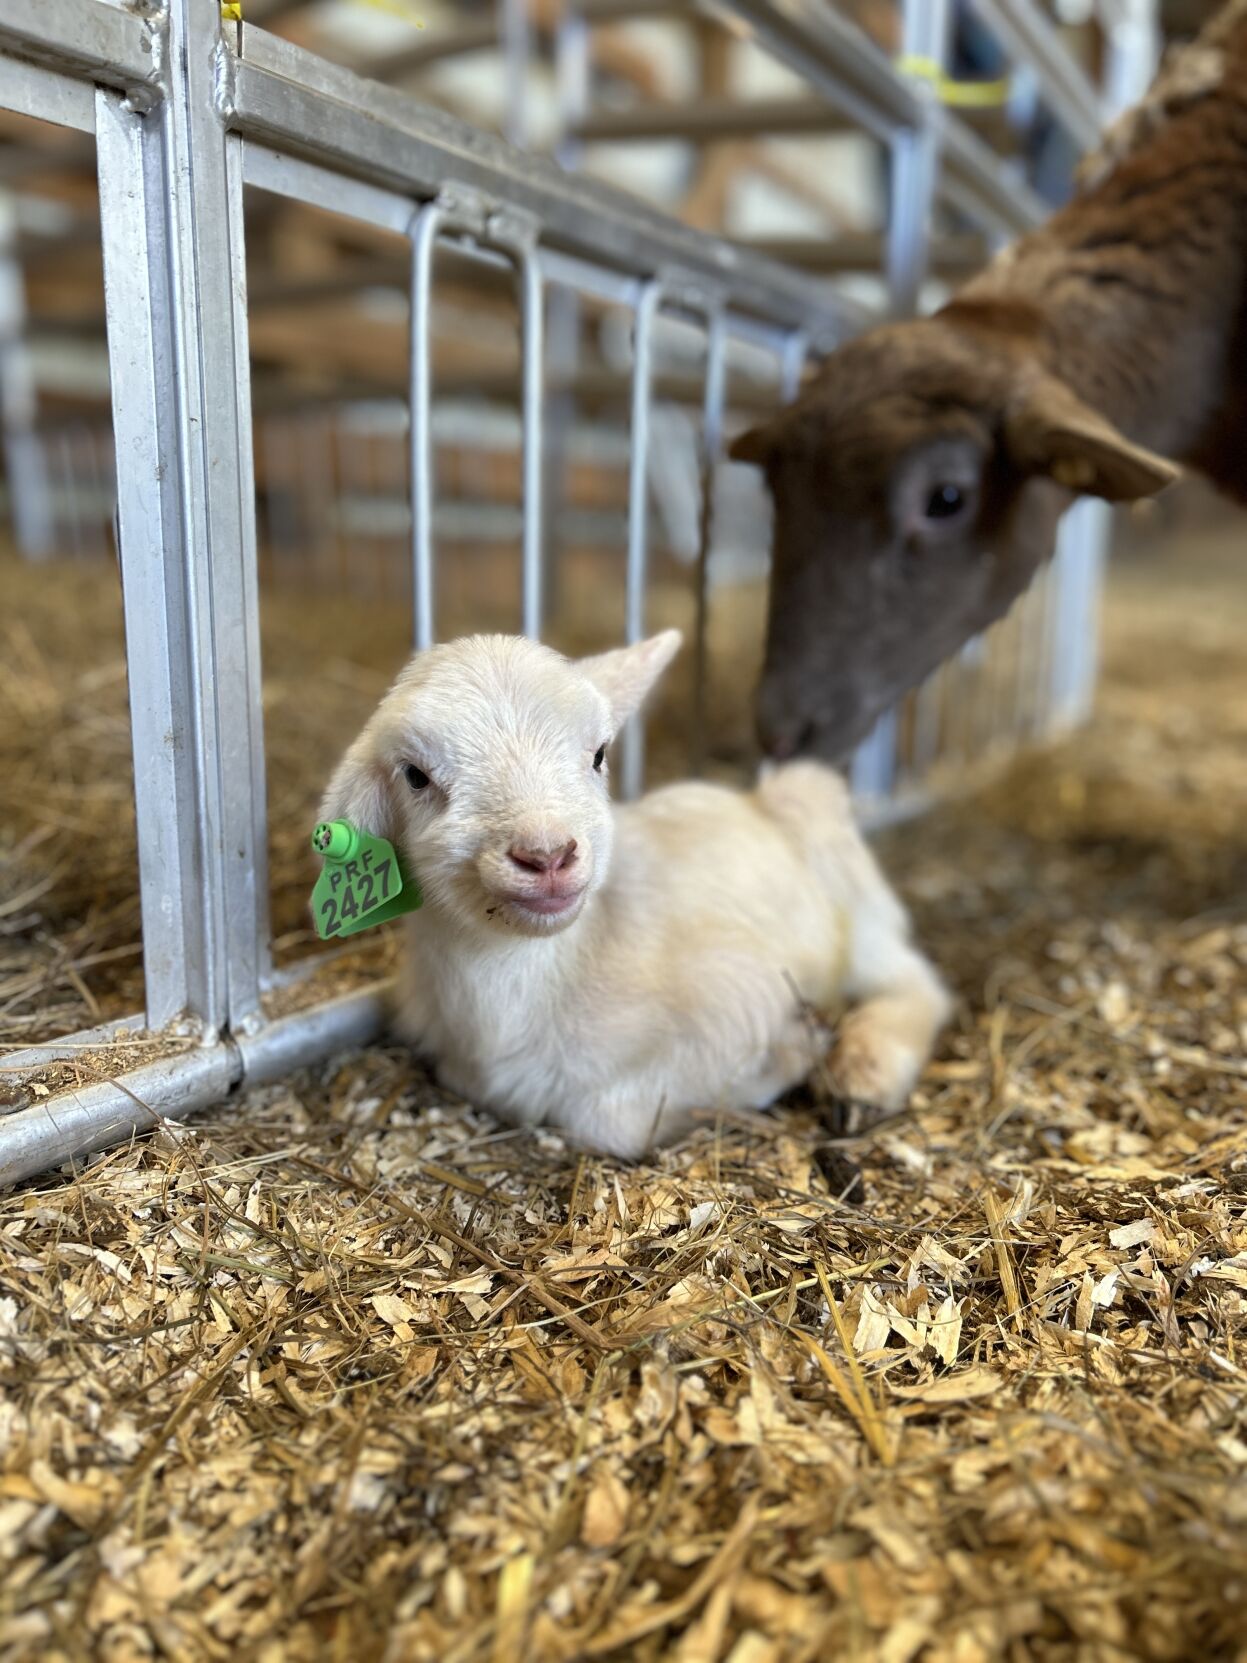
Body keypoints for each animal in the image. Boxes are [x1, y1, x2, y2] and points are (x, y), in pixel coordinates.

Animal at [317, 630, 950, 1158]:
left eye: (599, 754)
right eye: (414, 775)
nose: (547, 854)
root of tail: (758, 800)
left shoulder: (740, 990)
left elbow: (610, 1121)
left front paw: (792, 1052)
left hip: (851, 899)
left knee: (915, 983)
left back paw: (868, 1064)